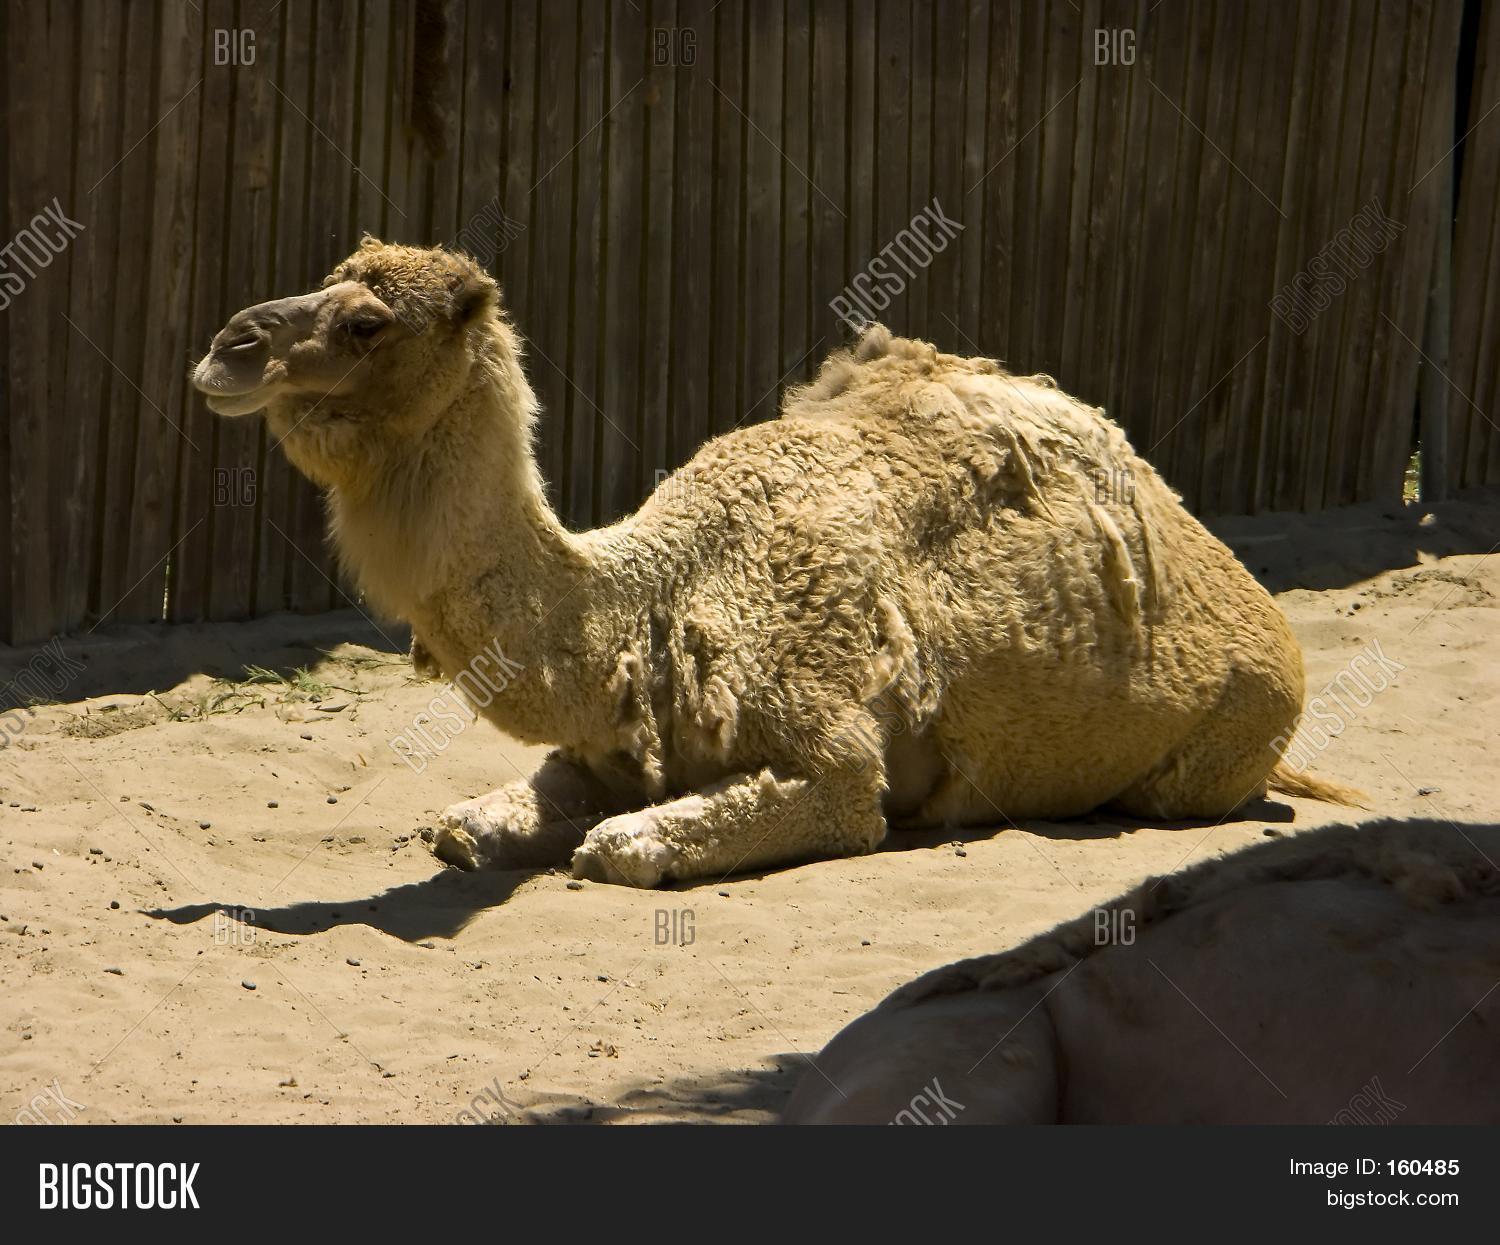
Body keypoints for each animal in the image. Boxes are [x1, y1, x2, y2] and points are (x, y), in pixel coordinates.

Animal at [191, 238, 1352, 887]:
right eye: (328, 287)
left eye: (367, 320)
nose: (225, 347)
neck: (657, 603)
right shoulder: (602, 750)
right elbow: (464, 832)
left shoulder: (836, 759)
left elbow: (625, 847)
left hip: (1227, 736)